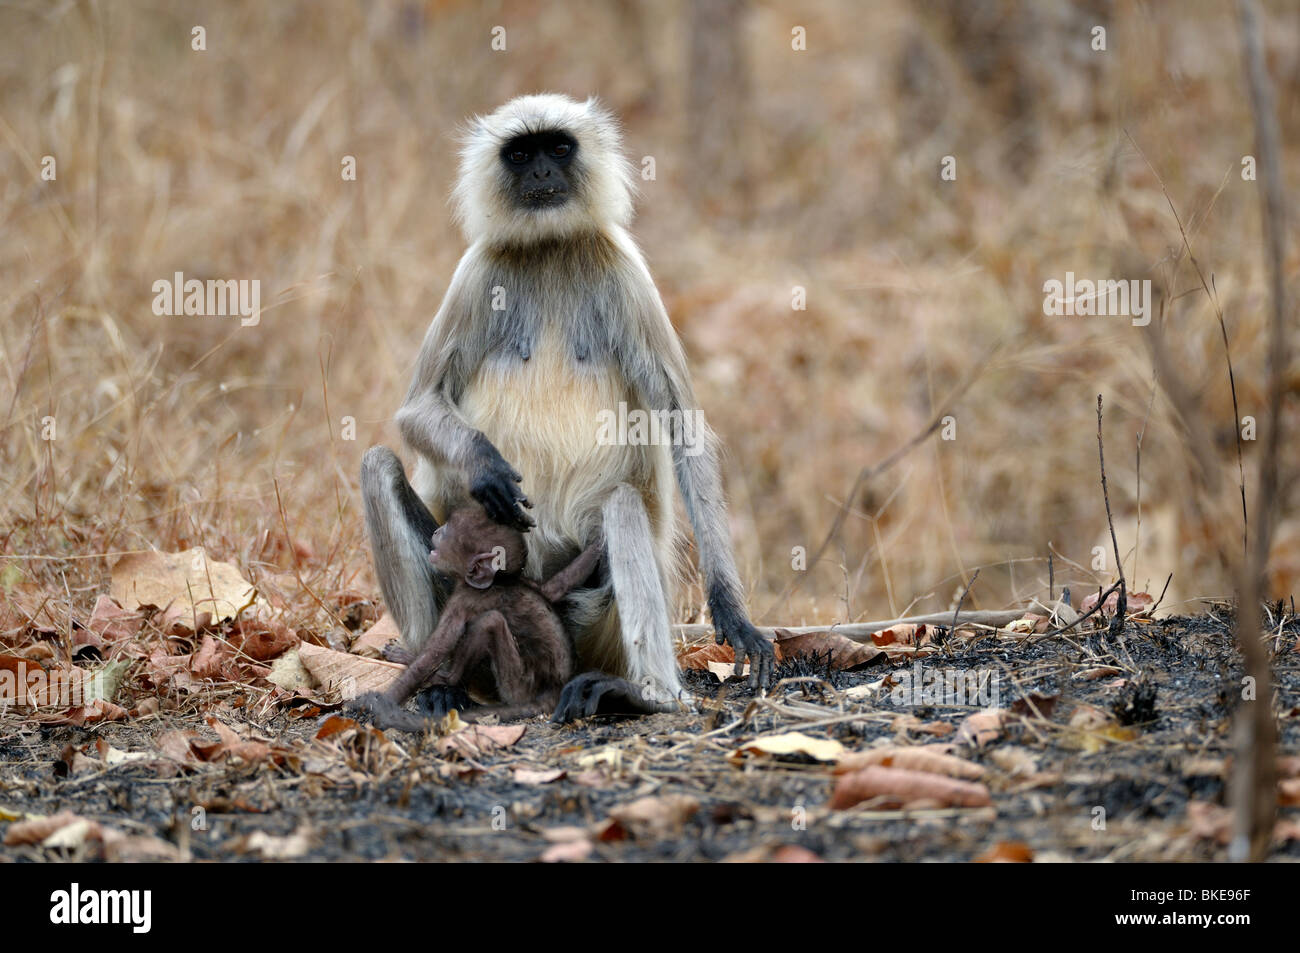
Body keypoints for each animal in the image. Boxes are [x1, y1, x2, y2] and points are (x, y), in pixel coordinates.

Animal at [349, 503, 607, 731]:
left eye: (447, 533)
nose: (437, 531)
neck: (498, 582)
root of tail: (553, 690)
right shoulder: (529, 583)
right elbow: (558, 585)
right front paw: (599, 542)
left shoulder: (462, 599)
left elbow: (433, 653)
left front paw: (378, 702)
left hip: (516, 686)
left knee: (489, 622)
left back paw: (444, 677)